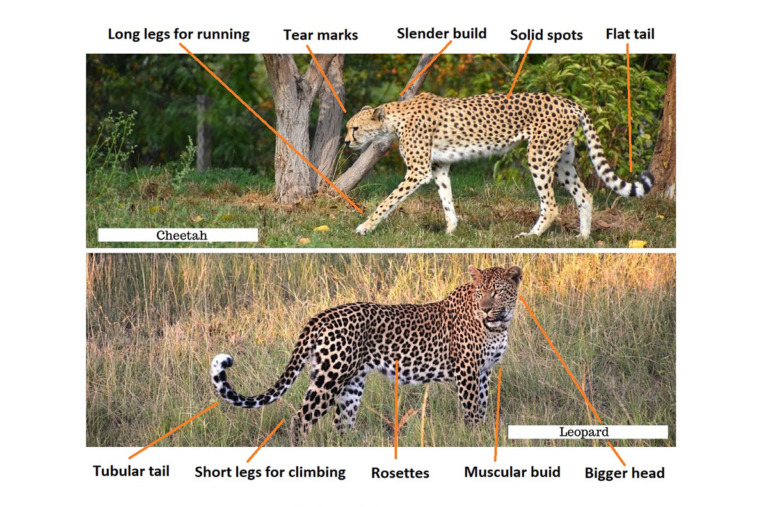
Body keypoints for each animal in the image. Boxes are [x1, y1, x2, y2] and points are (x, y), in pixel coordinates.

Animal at [210, 265, 522, 446]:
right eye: (481, 292)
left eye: (496, 292)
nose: (485, 308)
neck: (500, 324)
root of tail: (320, 316)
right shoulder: (467, 370)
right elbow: (472, 409)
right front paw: (474, 437)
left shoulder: (484, 371)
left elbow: (483, 406)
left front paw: (483, 433)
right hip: (330, 377)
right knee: (301, 419)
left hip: (351, 383)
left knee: (341, 424)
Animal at [344, 92, 654, 238]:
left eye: (354, 128)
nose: (346, 142)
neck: (394, 118)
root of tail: (569, 101)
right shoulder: (439, 166)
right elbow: (446, 199)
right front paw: (451, 229)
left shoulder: (418, 171)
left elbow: (387, 201)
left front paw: (365, 227)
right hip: (561, 159)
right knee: (584, 195)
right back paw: (583, 236)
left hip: (539, 155)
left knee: (551, 204)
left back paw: (531, 236)